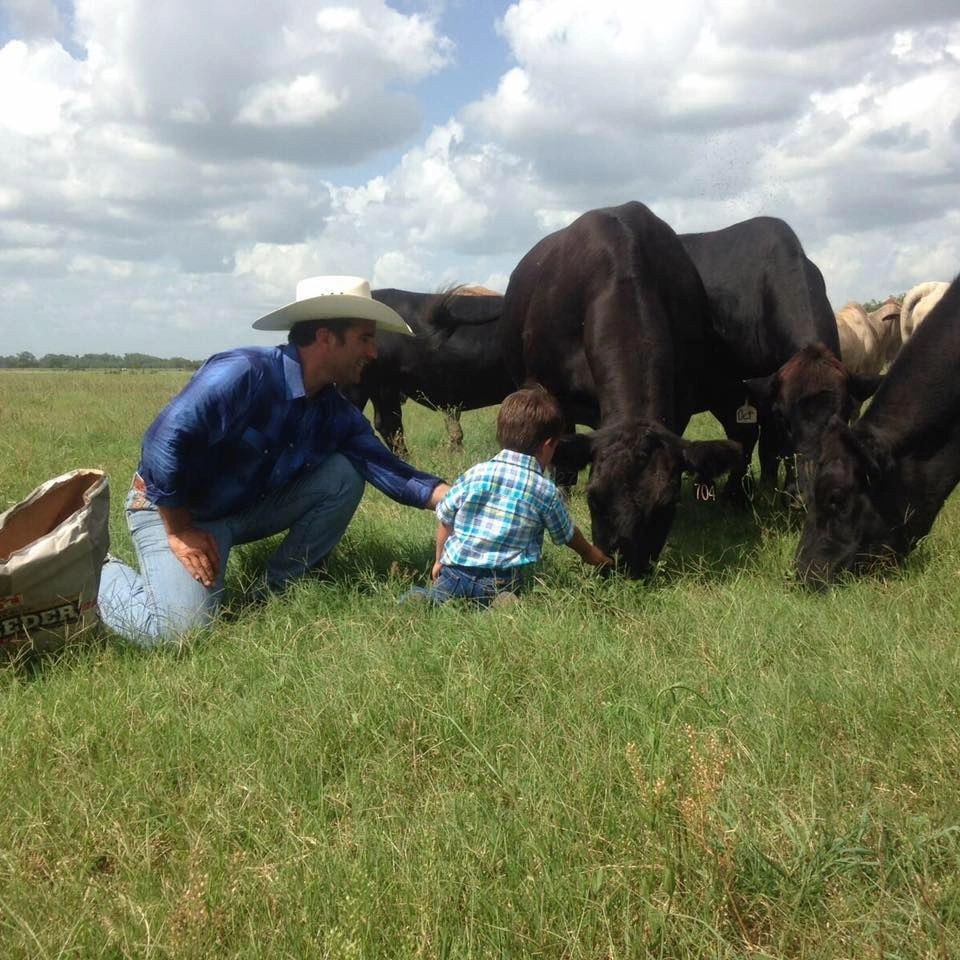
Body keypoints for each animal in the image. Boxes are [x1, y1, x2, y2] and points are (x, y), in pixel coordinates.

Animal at [679, 217, 881, 502]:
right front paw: (742, 493)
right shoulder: (733, 388)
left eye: (841, 417)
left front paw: (767, 487)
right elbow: (753, 437)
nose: (808, 492)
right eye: (785, 418)